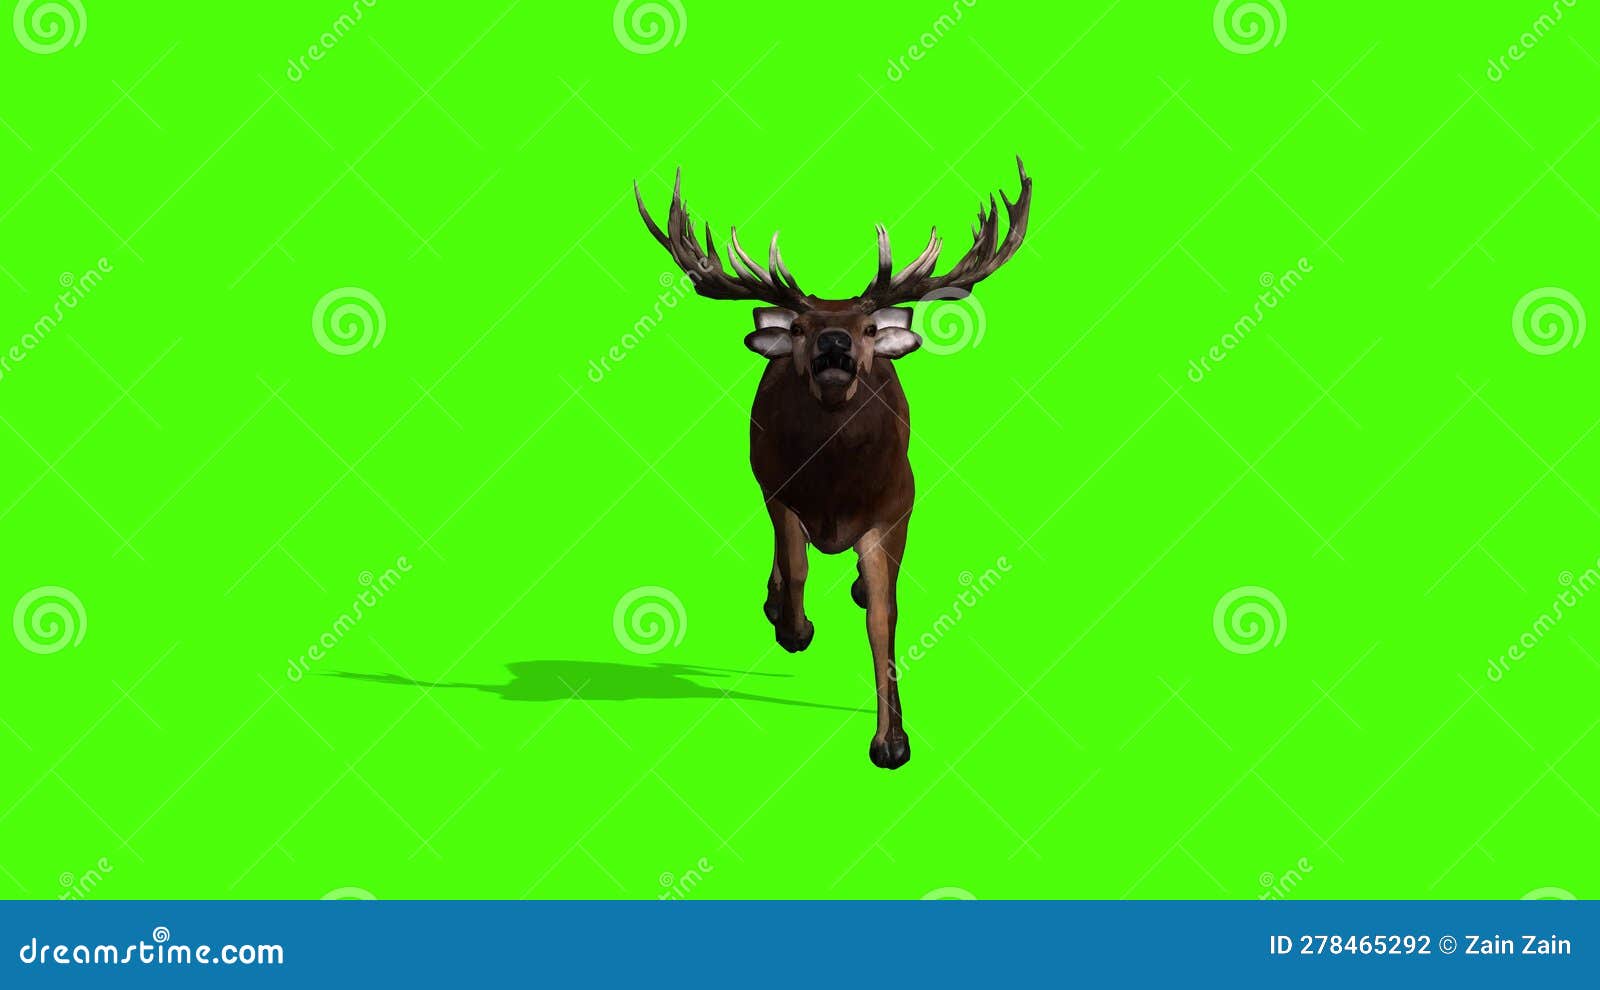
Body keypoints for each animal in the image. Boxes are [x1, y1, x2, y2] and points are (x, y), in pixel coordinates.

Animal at [634, 159, 1032, 769]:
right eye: (801, 328)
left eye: (868, 329)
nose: (835, 343)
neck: (834, 490)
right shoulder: (778, 491)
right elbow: (796, 564)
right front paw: (794, 628)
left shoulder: (897, 505)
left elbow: (884, 617)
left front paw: (891, 741)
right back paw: (776, 604)